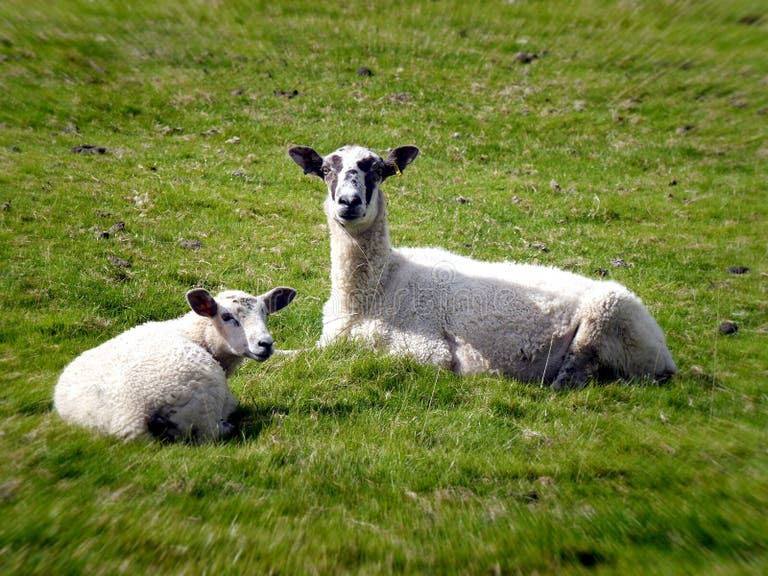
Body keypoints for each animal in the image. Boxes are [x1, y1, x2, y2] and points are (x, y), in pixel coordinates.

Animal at [54, 286, 297, 441]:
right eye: (227, 317)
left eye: (265, 314)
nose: (266, 344)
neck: (194, 335)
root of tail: (130, 417)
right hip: (204, 402)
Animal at [288, 144, 676, 388]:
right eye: (325, 170)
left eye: (380, 171)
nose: (349, 202)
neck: (376, 290)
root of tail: (664, 352)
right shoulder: (329, 342)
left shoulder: (424, 351)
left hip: (606, 318)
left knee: (578, 373)